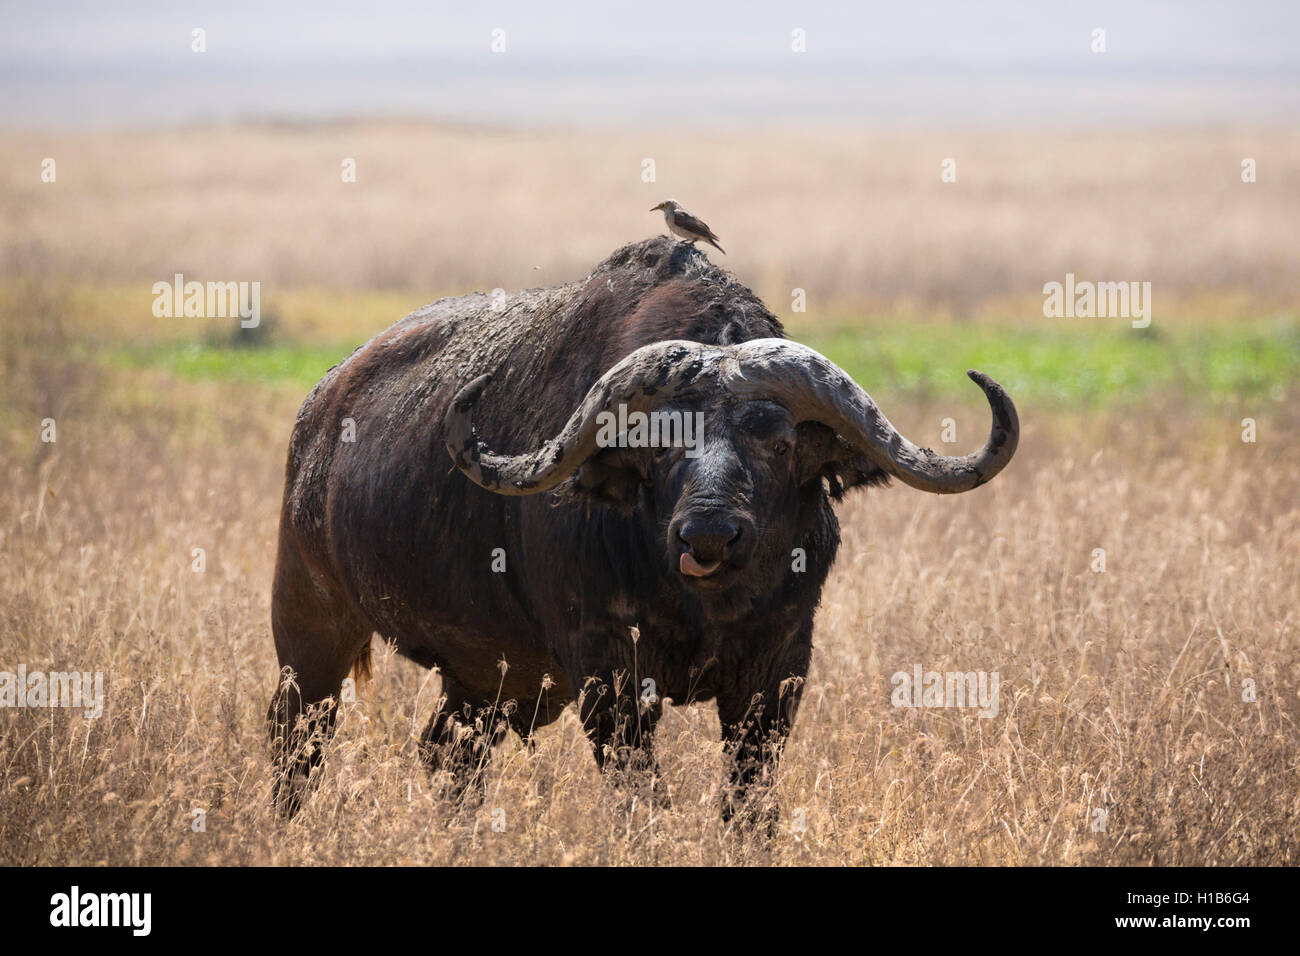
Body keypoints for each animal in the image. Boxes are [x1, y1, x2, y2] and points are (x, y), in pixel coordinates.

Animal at [268, 237, 1019, 820]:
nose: (709, 536)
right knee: (296, 737)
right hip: (310, 623)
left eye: (777, 440)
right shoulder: (610, 677)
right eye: (657, 444)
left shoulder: (777, 670)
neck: (698, 605)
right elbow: (643, 799)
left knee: (449, 755)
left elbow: (749, 801)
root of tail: (319, 411)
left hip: (491, 677)